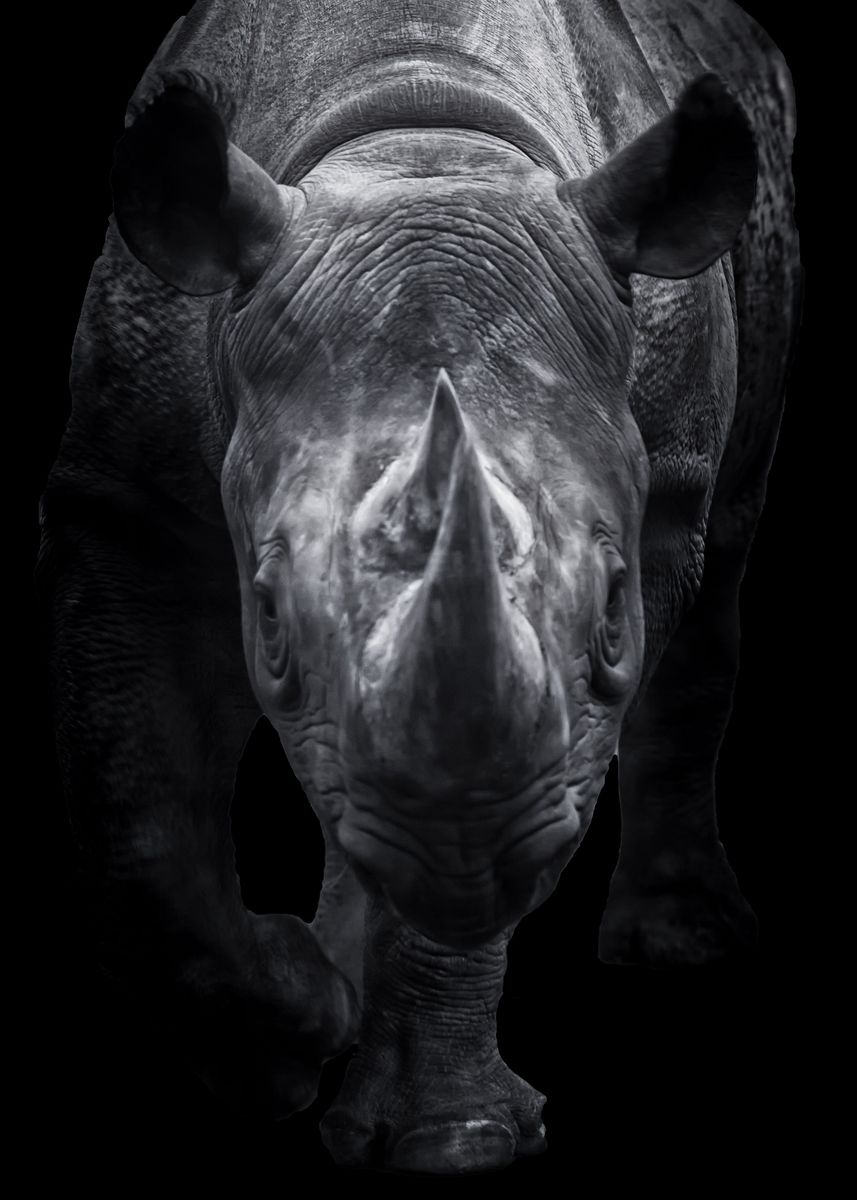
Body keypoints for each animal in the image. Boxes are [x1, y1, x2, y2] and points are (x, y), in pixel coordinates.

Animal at [39, 0, 800, 1176]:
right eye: (267, 621)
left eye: (613, 620)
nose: (460, 862)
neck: (420, 145)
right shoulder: (125, 494)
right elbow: (136, 823)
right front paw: (291, 1028)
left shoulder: (653, 496)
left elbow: (544, 746)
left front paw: (449, 1138)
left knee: (732, 536)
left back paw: (678, 948)